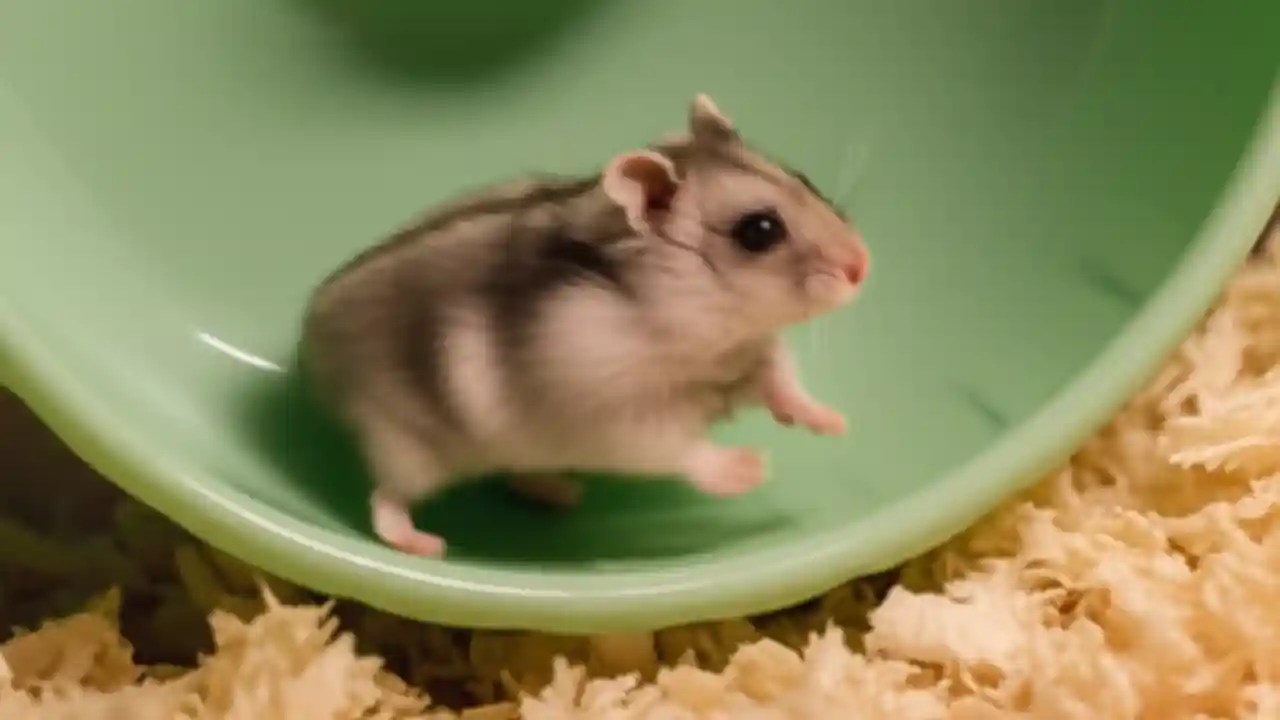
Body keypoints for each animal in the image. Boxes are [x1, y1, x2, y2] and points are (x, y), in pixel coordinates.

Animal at [302, 94, 870, 557]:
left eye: (803, 178)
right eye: (759, 231)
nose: (862, 267)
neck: (696, 318)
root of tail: (310, 338)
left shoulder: (750, 357)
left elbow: (781, 378)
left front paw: (832, 422)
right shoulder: (611, 411)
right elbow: (679, 447)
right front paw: (751, 467)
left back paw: (563, 493)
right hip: (407, 446)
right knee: (386, 500)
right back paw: (427, 545)